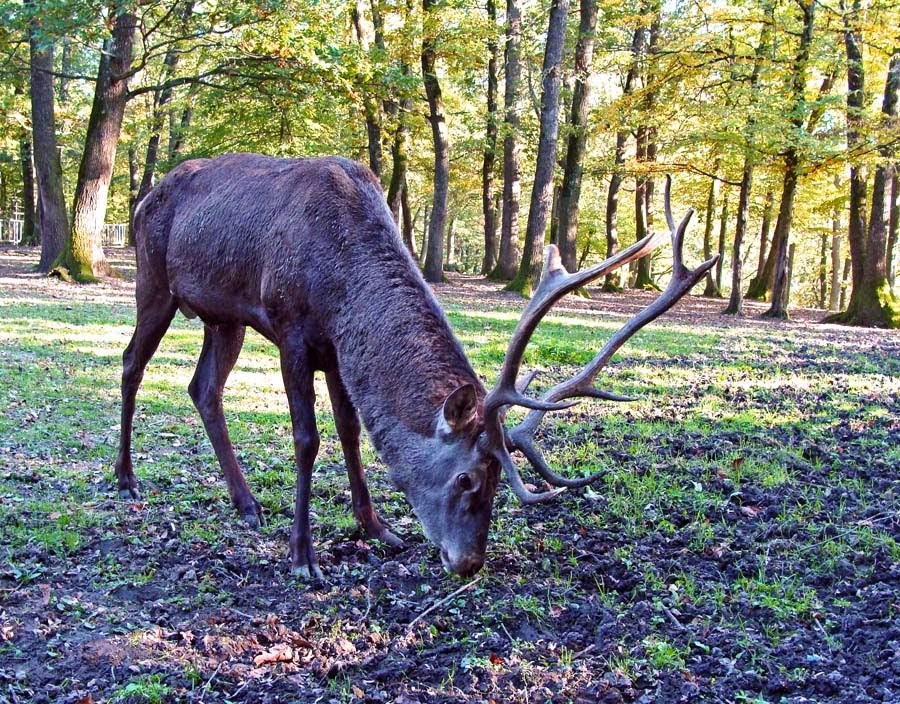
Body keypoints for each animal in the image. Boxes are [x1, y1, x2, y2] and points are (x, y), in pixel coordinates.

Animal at [115, 153, 716, 579]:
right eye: (467, 478)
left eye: (499, 481)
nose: (469, 563)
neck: (341, 287)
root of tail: (143, 199)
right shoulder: (291, 330)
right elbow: (308, 439)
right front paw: (303, 557)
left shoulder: (337, 350)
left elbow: (352, 430)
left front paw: (376, 527)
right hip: (155, 281)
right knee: (130, 365)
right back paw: (126, 480)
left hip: (223, 317)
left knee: (203, 389)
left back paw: (246, 503)